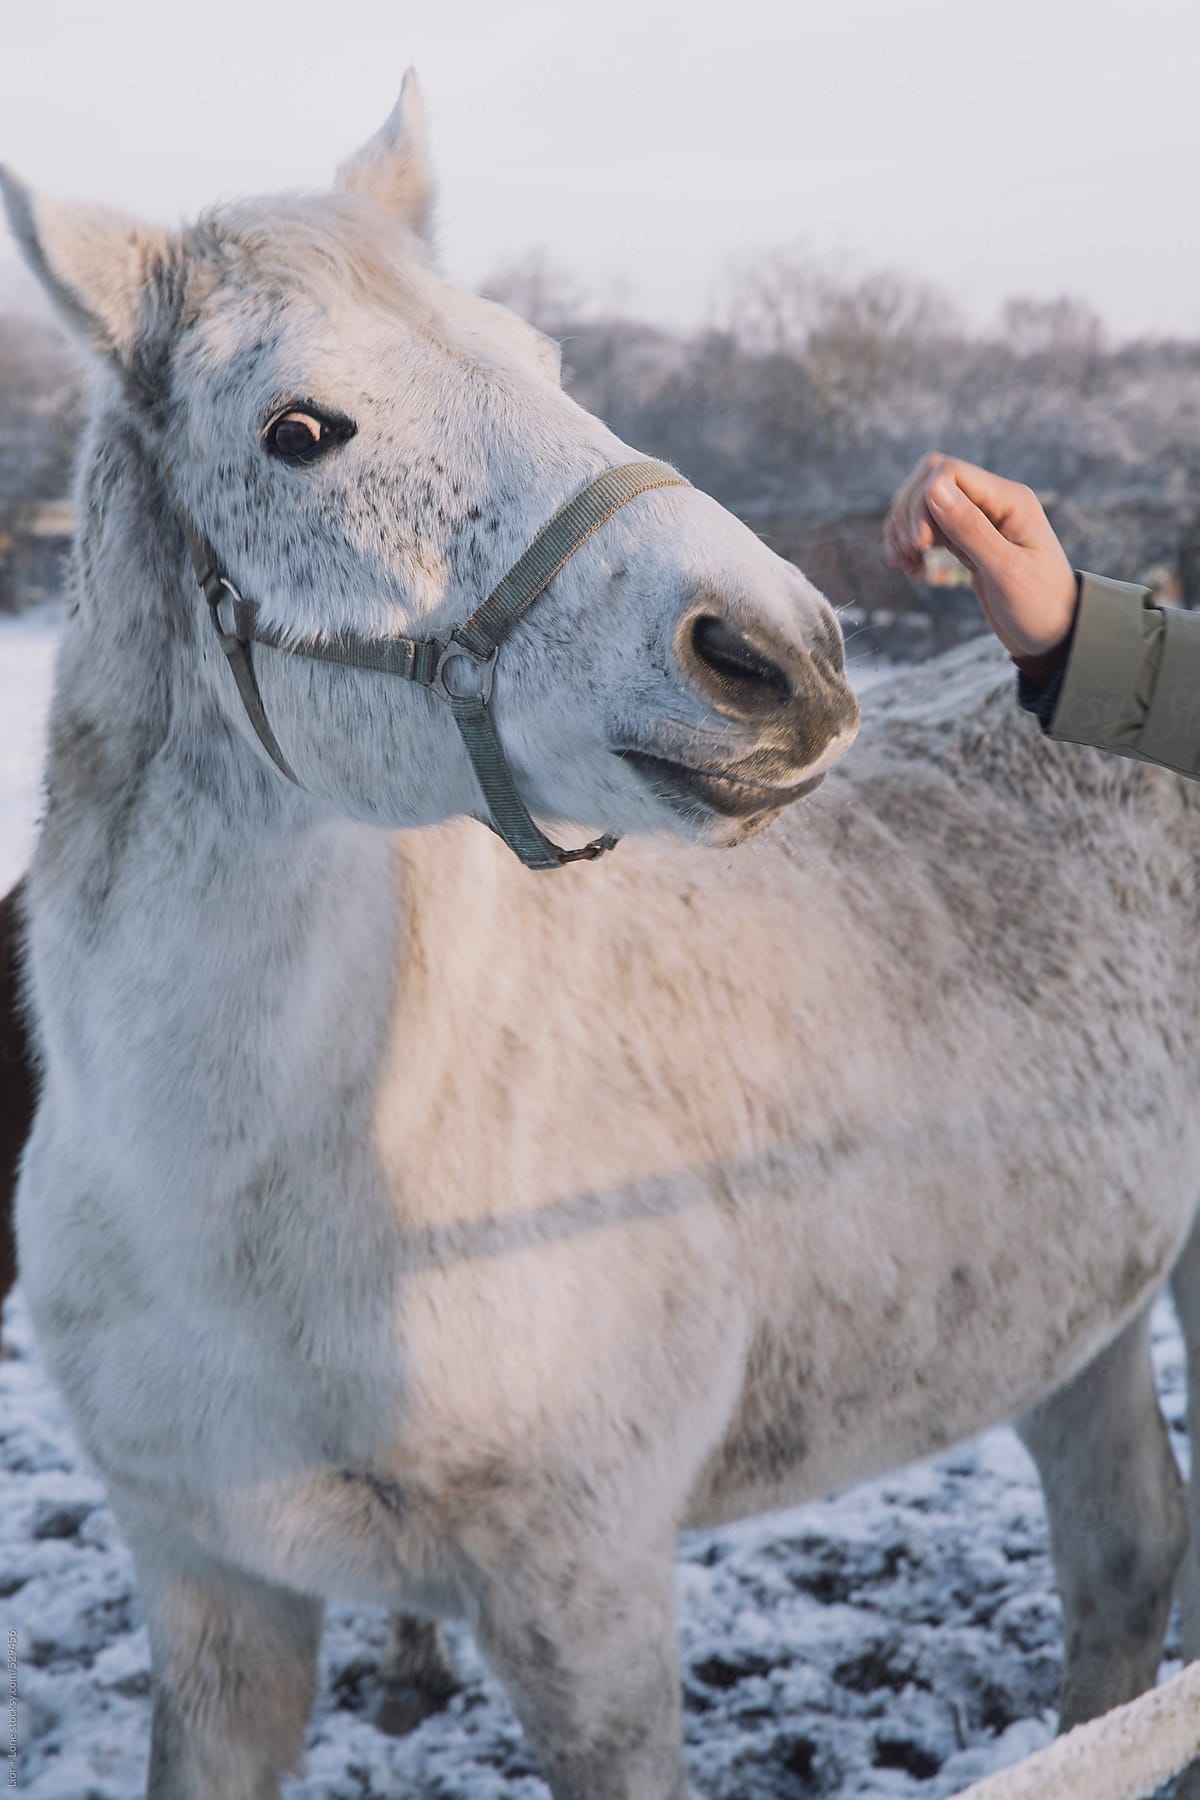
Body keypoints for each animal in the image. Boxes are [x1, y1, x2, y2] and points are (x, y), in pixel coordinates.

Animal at [4, 72, 1200, 1800]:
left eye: (550, 362)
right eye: (297, 430)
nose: (780, 656)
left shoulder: (588, 1606)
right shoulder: (211, 1595)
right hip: (1072, 1308)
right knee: (1121, 1555)